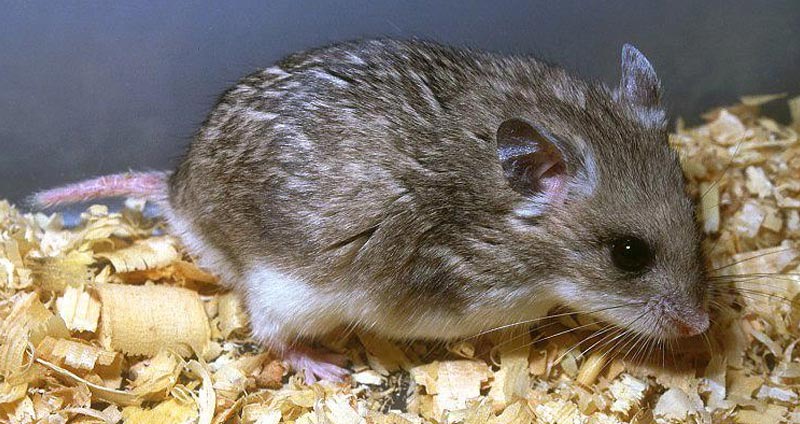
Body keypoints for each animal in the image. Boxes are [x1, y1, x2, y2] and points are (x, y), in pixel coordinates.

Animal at [32, 39, 710, 382]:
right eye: (628, 254)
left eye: (694, 213)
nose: (702, 327)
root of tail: (176, 191)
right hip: (286, 289)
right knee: (269, 335)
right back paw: (329, 368)